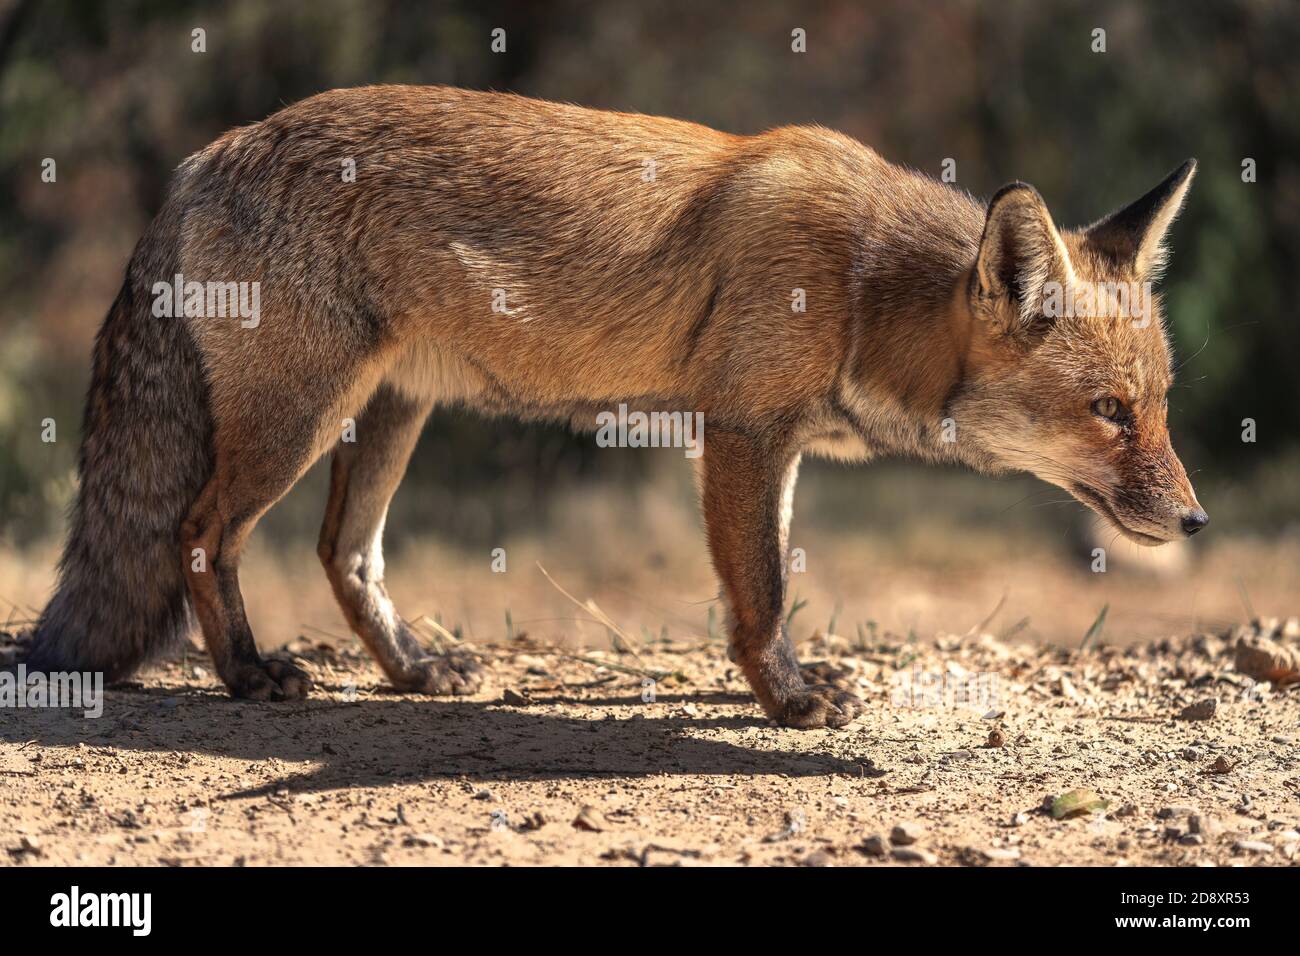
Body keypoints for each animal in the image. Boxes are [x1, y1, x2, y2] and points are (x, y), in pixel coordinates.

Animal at [23, 85, 1207, 729]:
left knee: (342, 555)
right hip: (299, 419)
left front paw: (770, 689)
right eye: (1108, 411)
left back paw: (411, 670)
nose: (1196, 521)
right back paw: (245, 673)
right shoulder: (741, 430)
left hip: (391, 413)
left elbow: (763, 585)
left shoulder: (774, 446)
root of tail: (202, 156)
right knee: (199, 532)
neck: (865, 285)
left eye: (1158, 407)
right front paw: (786, 702)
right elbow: (762, 591)